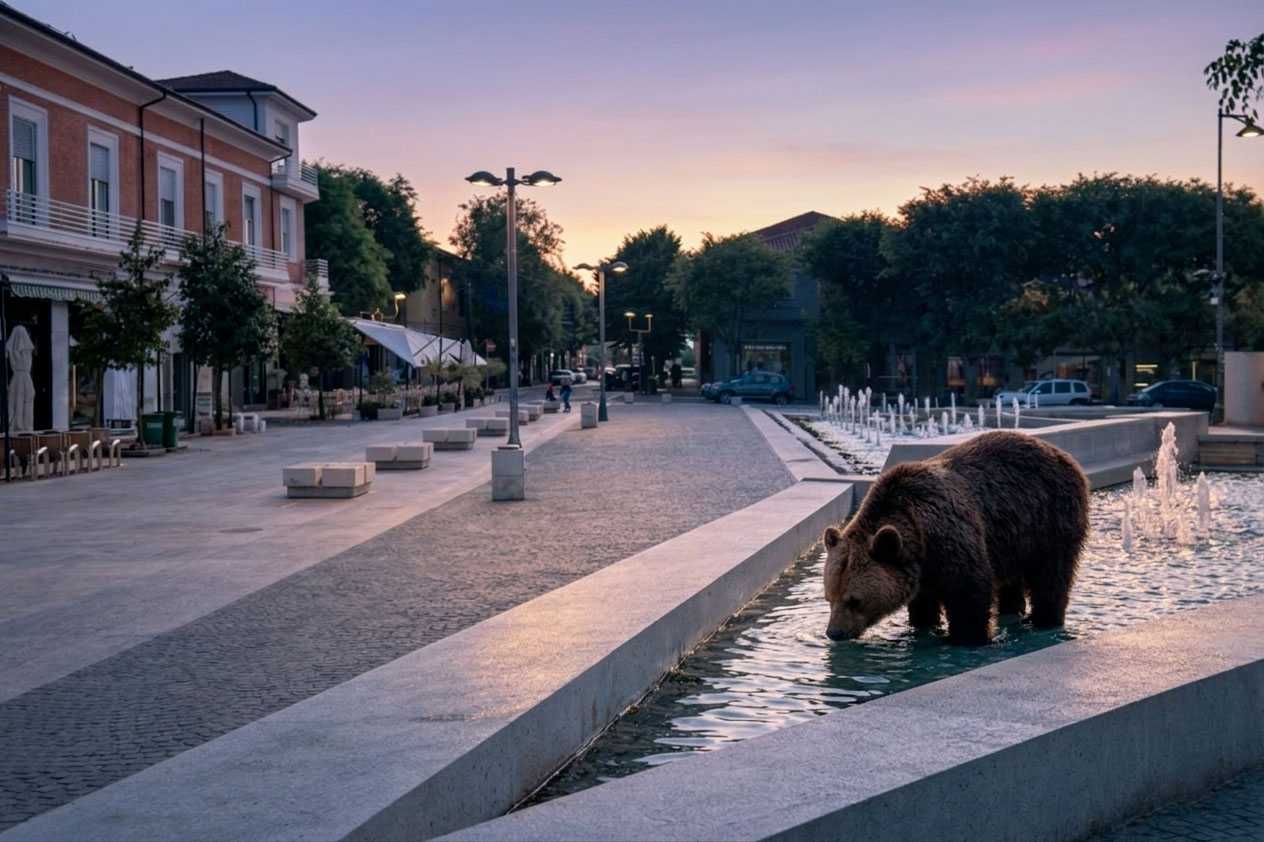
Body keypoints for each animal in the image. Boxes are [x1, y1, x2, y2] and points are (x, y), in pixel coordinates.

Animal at [822, 430, 1089, 645]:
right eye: (829, 597)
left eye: (855, 600)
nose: (834, 633)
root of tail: (1061, 453)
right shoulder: (921, 567)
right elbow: (923, 603)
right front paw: (923, 625)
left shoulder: (952, 540)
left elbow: (969, 594)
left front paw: (966, 638)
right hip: (1014, 535)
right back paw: (1011, 612)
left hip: (1051, 517)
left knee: (1051, 575)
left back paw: (1045, 620)